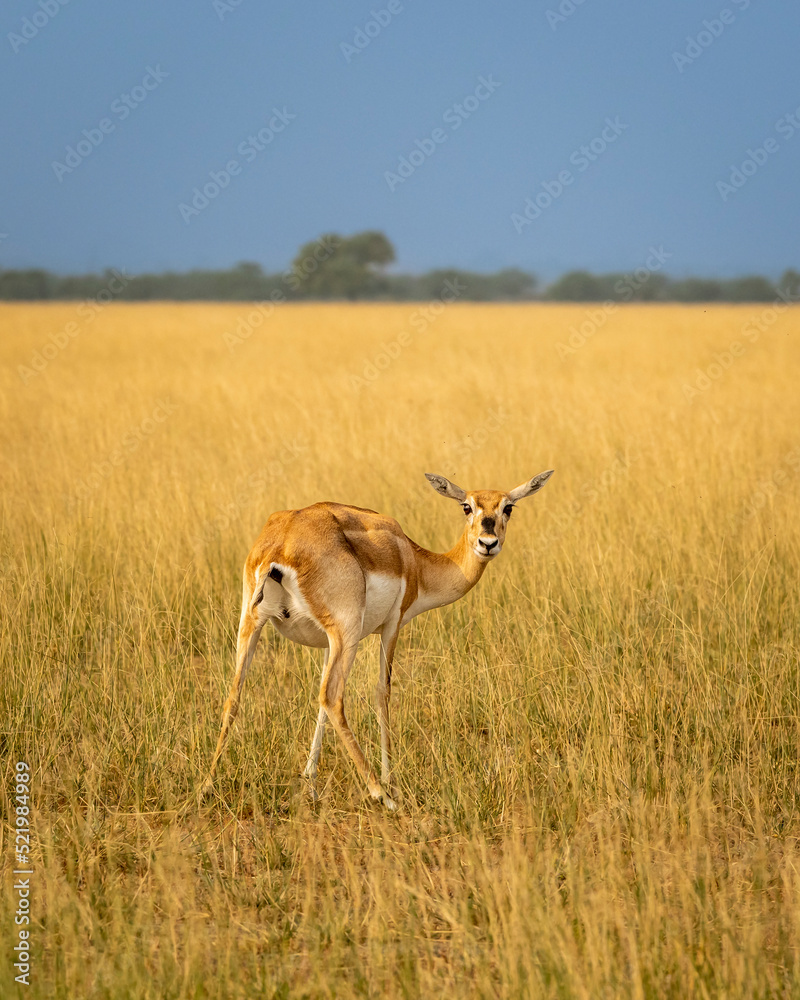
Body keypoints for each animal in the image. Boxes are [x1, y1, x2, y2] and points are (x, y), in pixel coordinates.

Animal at [200, 470, 554, 809]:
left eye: (508, 507)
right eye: (467, 506)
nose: (488, 542)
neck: (414, 560)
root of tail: (281, 544)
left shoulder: (327, 643)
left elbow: (318, 707)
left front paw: (309, 783)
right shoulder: (392, 625)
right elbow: (382, 693)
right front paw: (391, 783)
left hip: (252, 625)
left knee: (235, 696)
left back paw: (206, 788)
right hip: (347, 631)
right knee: (333, 697)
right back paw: (380, 795)